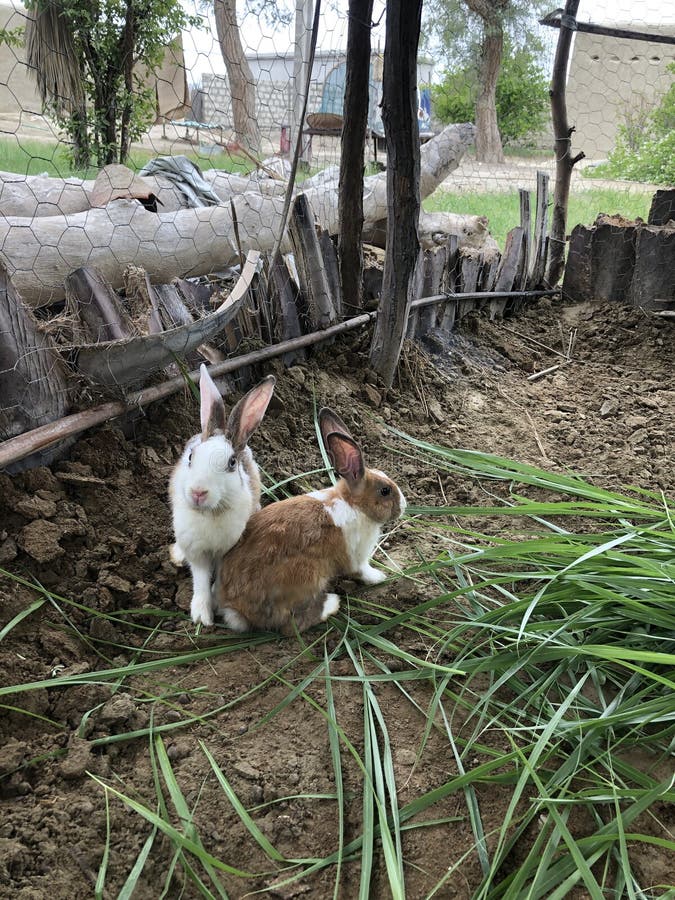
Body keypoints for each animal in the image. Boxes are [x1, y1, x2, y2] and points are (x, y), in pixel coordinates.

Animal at [169, 364, 275, 626]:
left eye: (231, 463)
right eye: (191, 457)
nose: (198, 492)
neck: (210, 514)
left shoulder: (226, 550)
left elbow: (217, 577)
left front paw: (216, 604)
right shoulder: (196, 551)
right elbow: (199, 580)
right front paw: (201, 616)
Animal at [214, 407, 406, 635]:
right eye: (385, 491)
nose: (404, 506)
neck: (353, 505)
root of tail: (235, 609)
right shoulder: (356, 556)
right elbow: (362, 571)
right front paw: (379, 577)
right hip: (305, 576)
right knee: (290, 625)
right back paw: (331, 604)